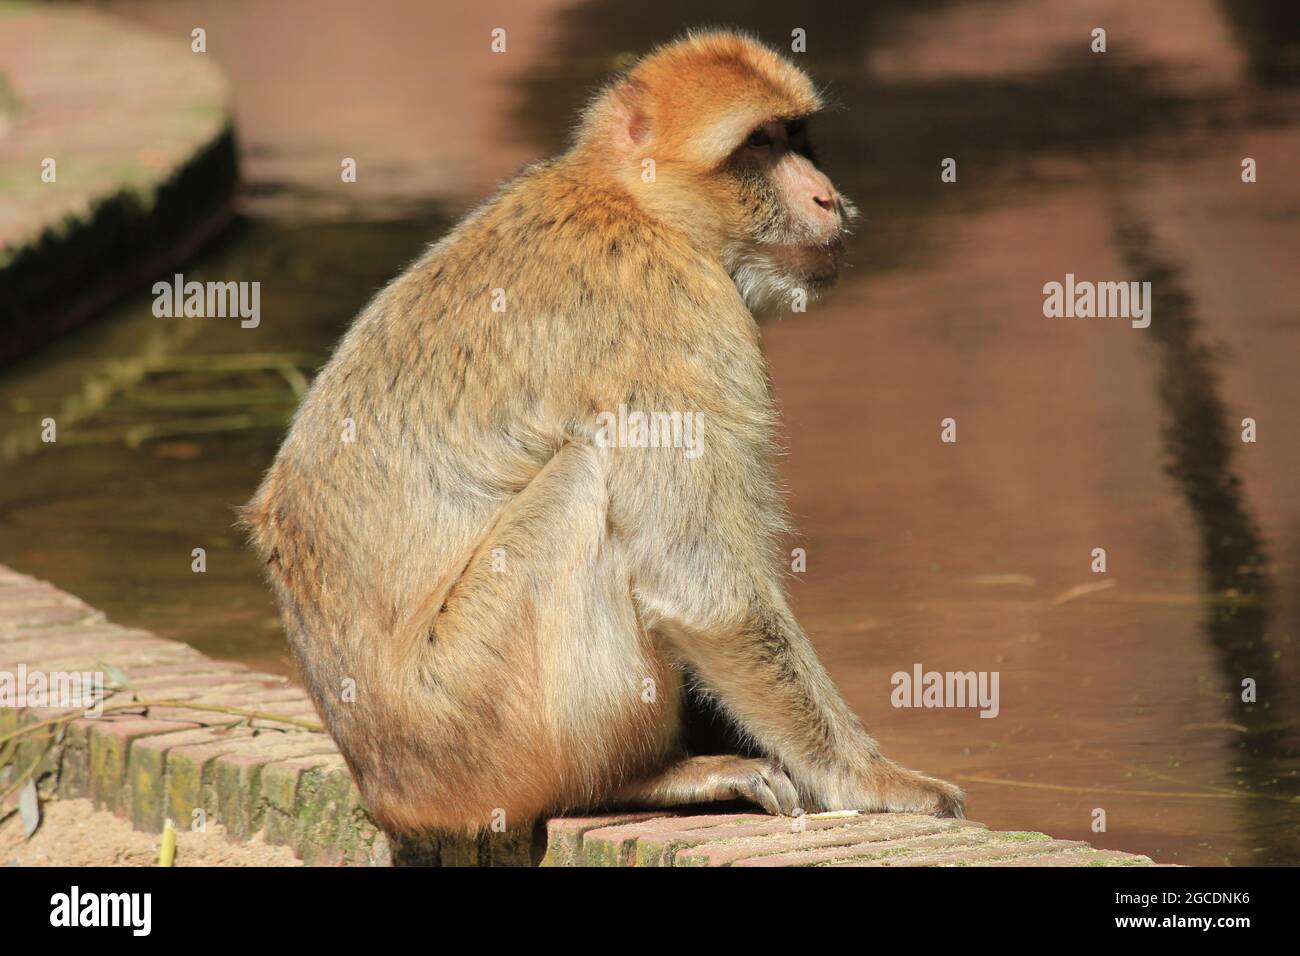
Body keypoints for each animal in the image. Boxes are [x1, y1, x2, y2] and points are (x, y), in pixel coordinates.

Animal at [242, 30, 965, 834]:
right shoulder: (677, 311)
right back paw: (634, 778)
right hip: (473, 724)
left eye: (796, 136)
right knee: (586, 479)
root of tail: (386, 789)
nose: (825, 195)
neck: (630, 200)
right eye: (758, 145)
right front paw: (869, 777)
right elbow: (702, 585)